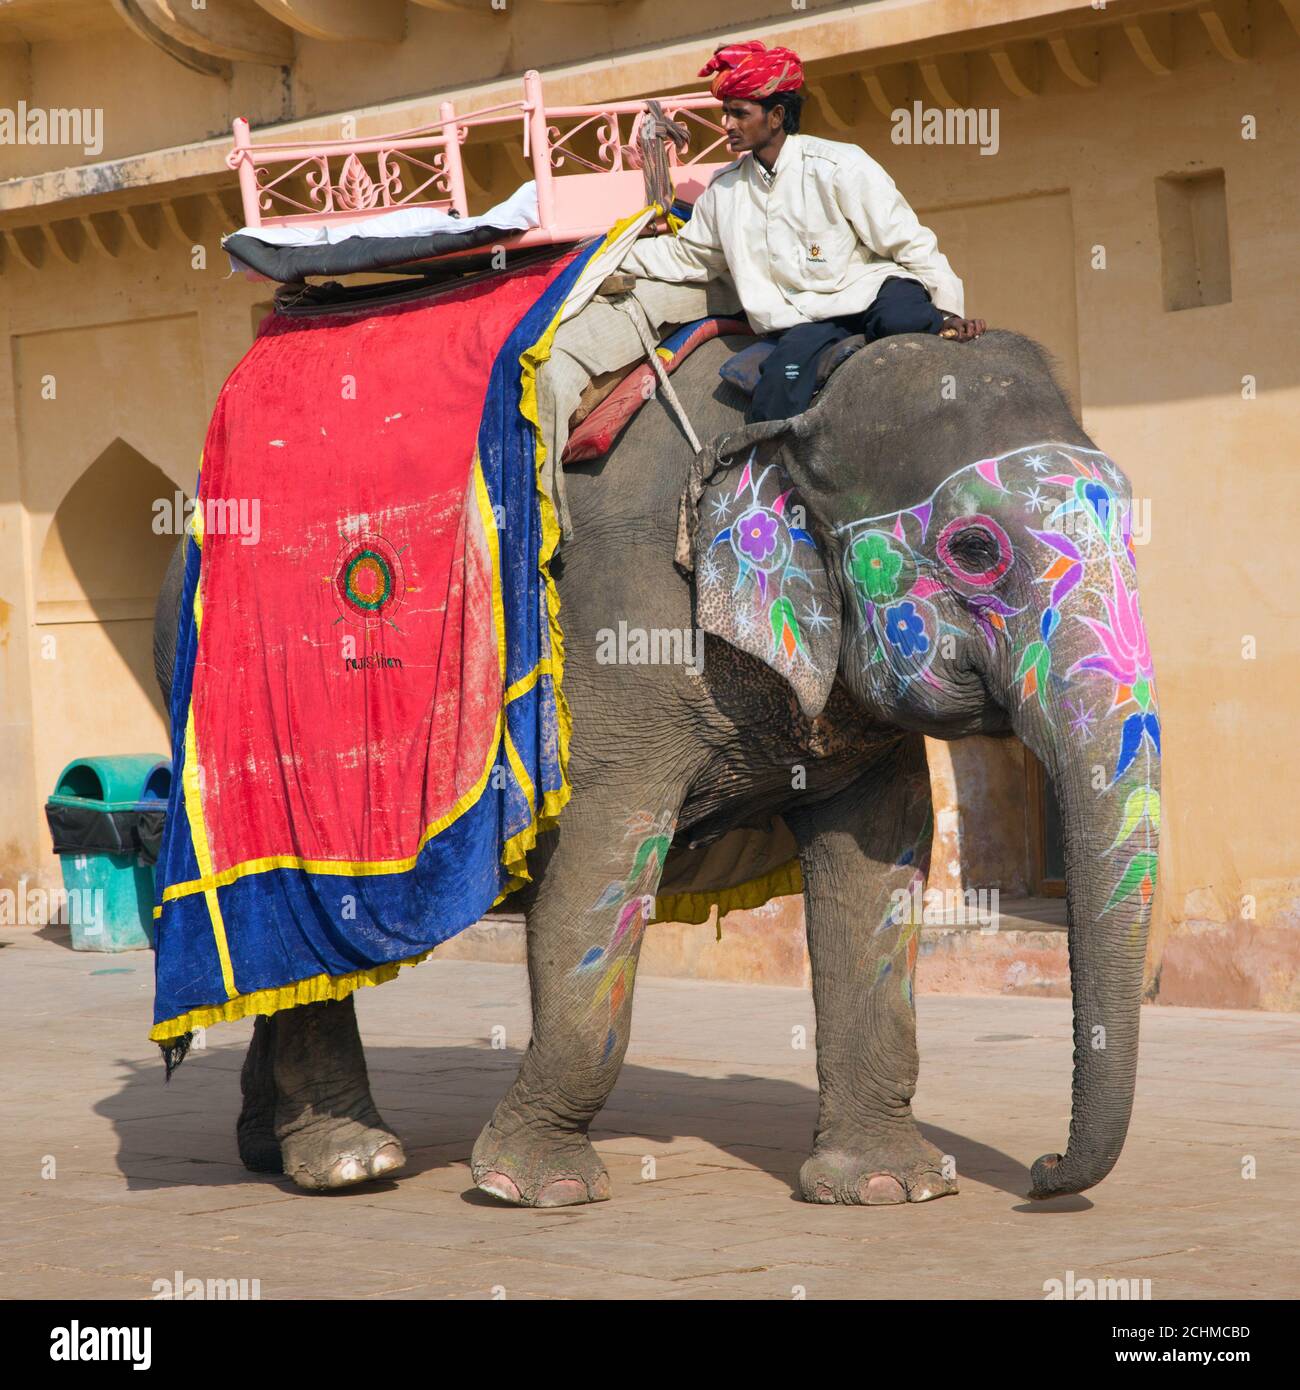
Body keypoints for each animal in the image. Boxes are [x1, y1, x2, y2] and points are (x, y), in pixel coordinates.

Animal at [155, 325, 1160, 1205]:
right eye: (976, 550)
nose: (1043, 1172)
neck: (803, 392)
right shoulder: (621, 637)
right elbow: (600, 860)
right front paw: (535, 1189)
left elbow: (877, 869)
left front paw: (888, 1187)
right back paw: (350, 1163)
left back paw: (273, 1149)